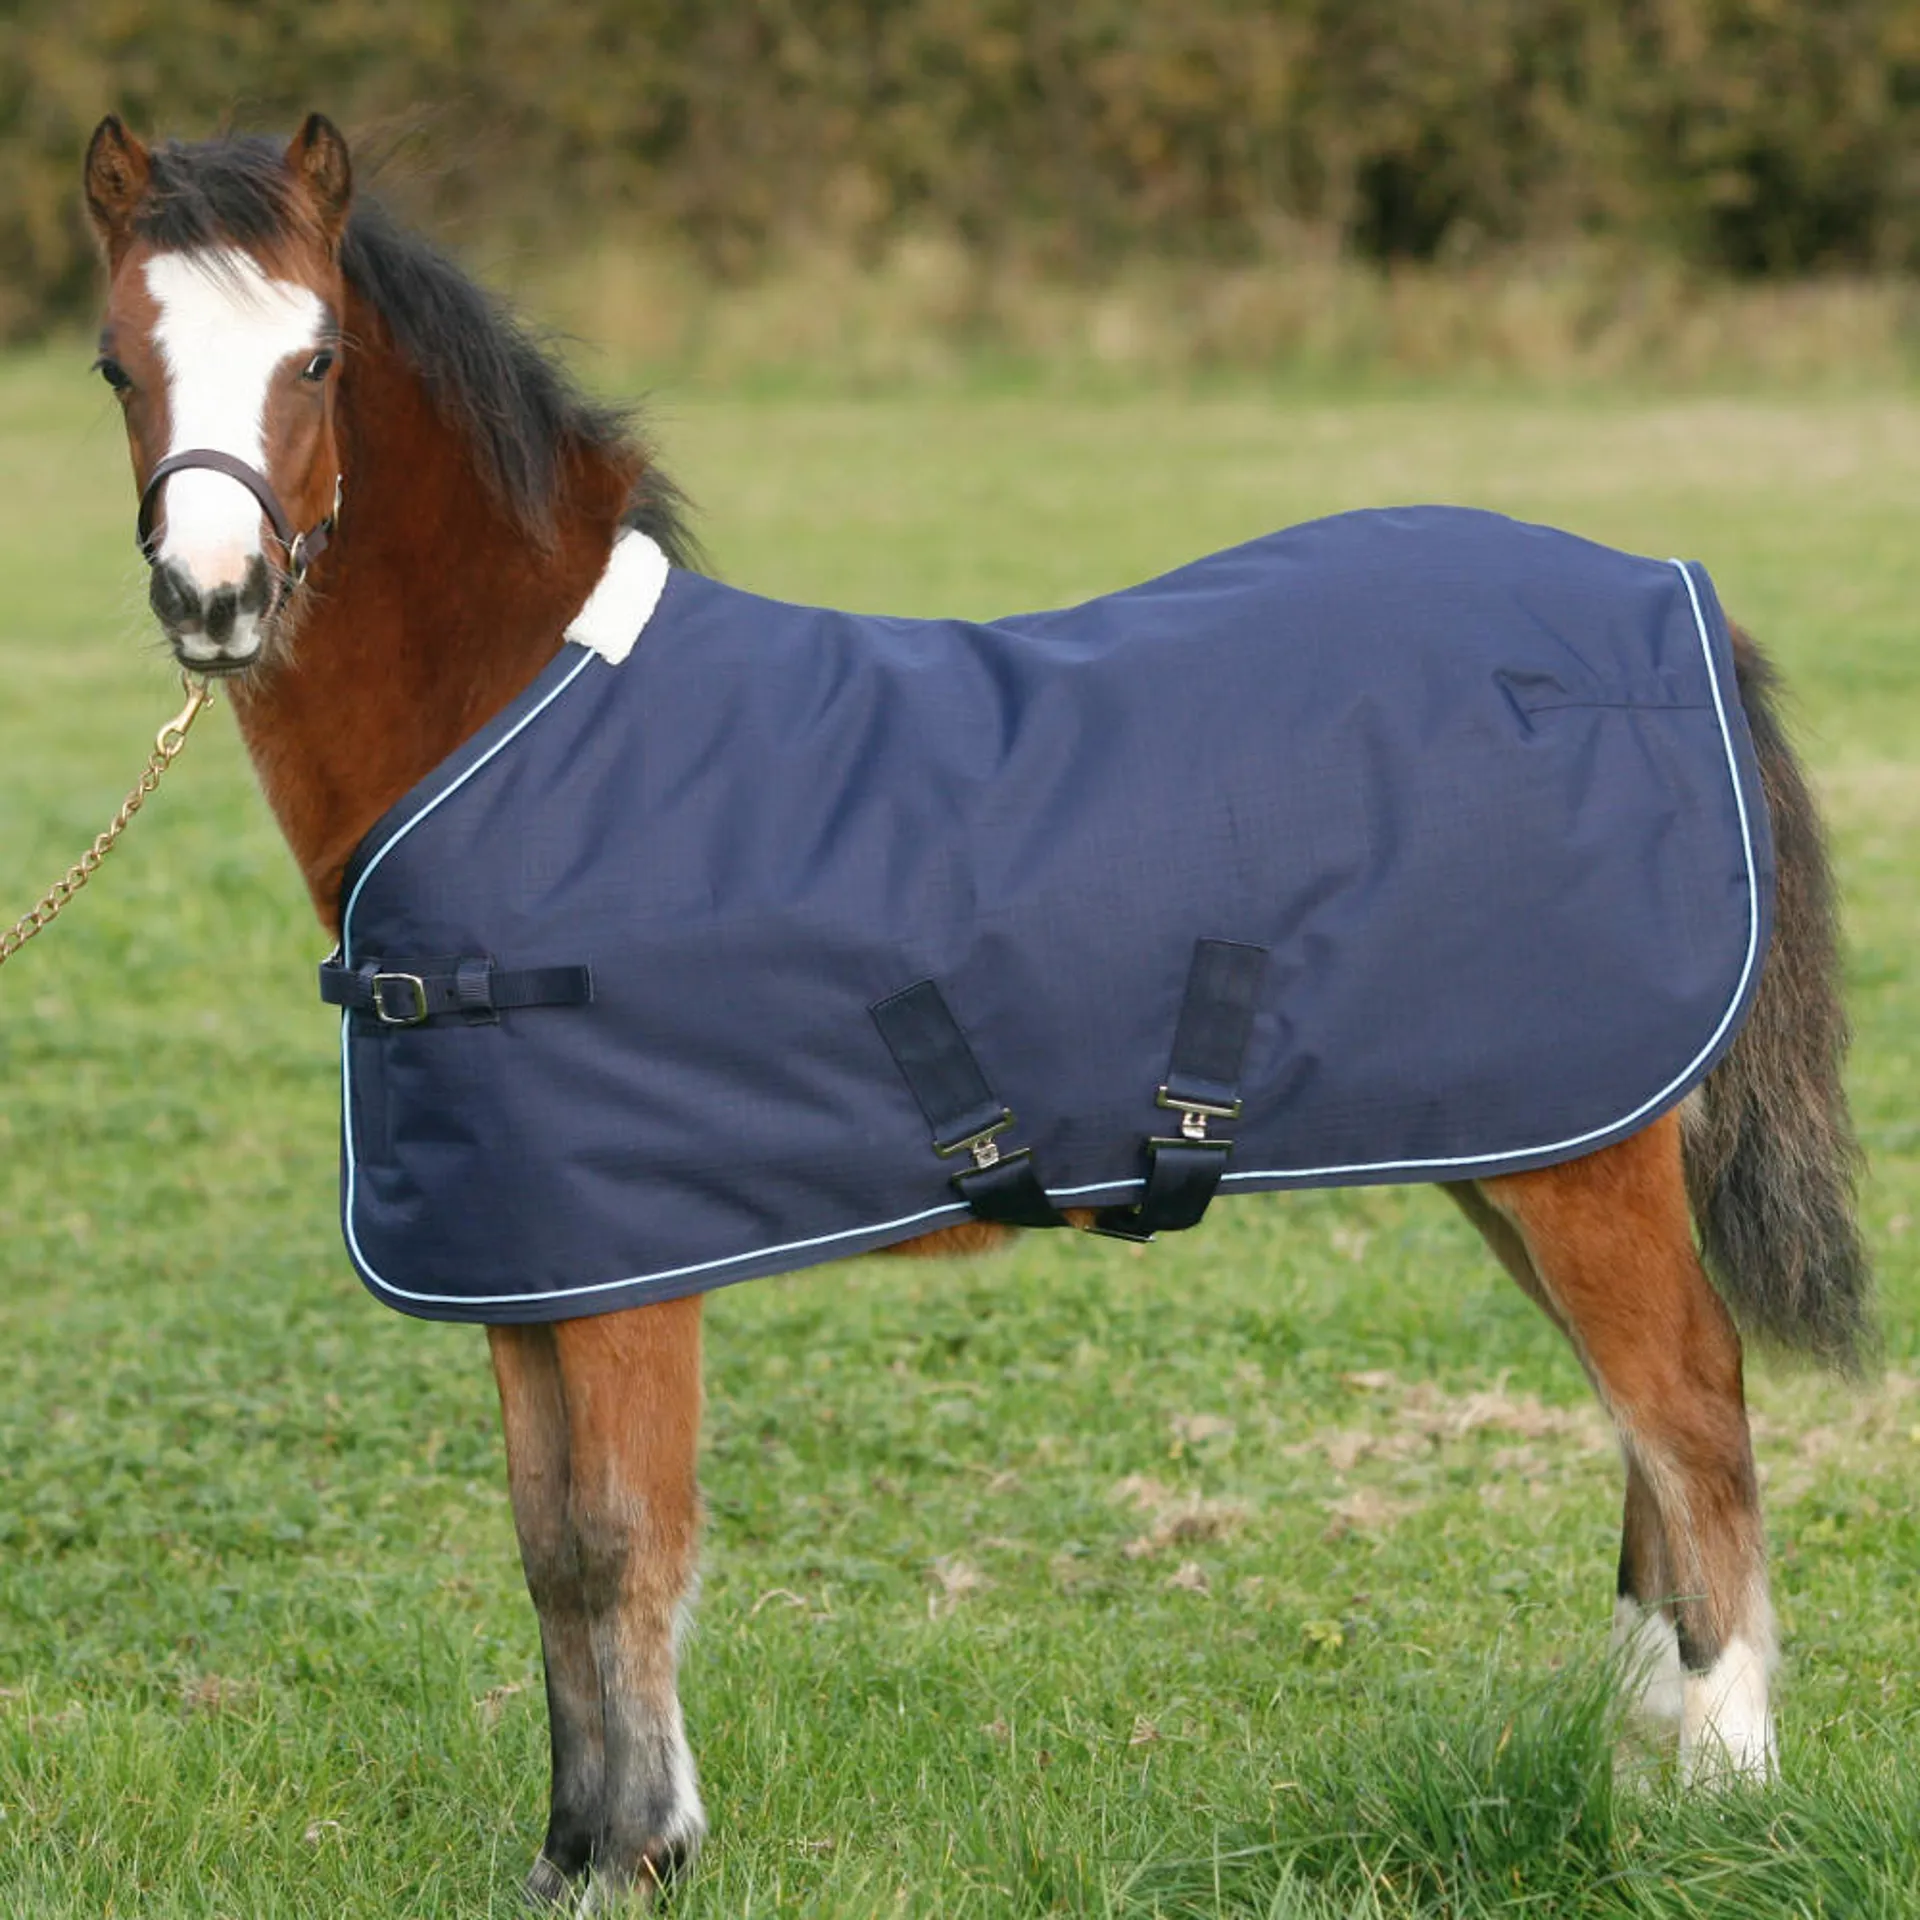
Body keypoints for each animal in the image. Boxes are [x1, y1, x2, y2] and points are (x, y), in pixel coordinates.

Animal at [82, 113, 1869, 1904]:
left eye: (317, 356)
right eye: (115, 364)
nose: (214, 599)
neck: (530, 727)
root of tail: (1672, 607)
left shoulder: (629, 1272)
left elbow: (618, 1543)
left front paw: (643, 1852)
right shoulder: (527, 1266)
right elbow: (546, 1553)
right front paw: (574, 1853)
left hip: (1582, 1162)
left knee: (1691, 1410)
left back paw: (1719, 1788)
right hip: (1522, 1141)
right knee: (1642, 1431)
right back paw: (1638, 1756)